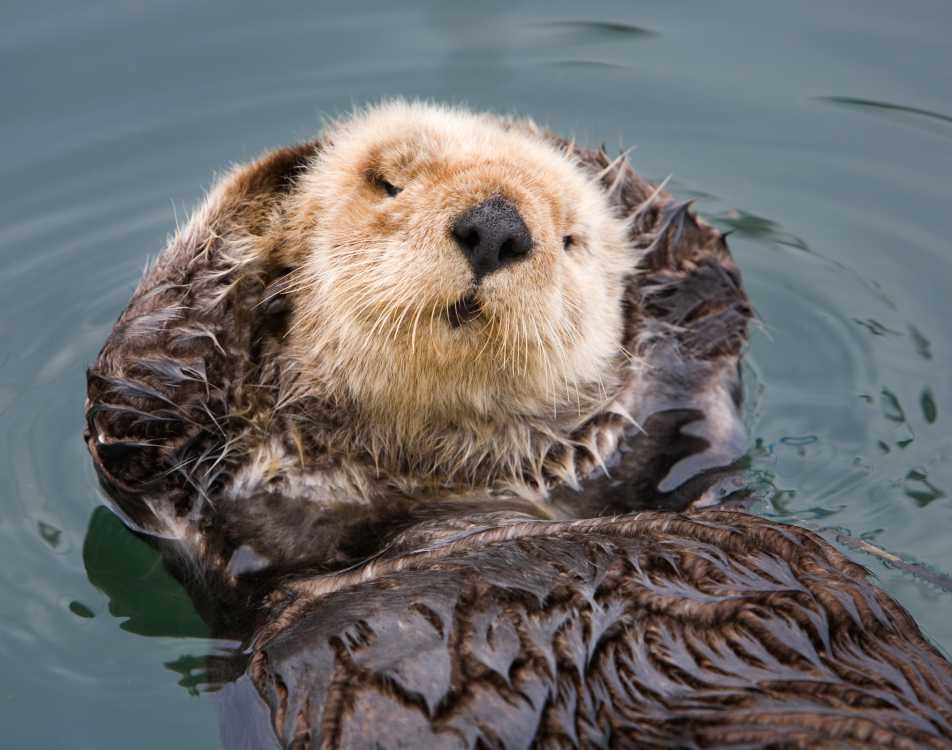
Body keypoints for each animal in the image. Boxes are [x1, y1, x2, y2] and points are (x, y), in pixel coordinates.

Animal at [83, 101, 952, 747]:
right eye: (386, 184)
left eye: (571, 237)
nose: (498, 225)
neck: (436, 494)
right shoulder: (200, 508)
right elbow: (136, 391)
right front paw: (280, 179)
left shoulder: (677, 447)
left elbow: (701, 313)